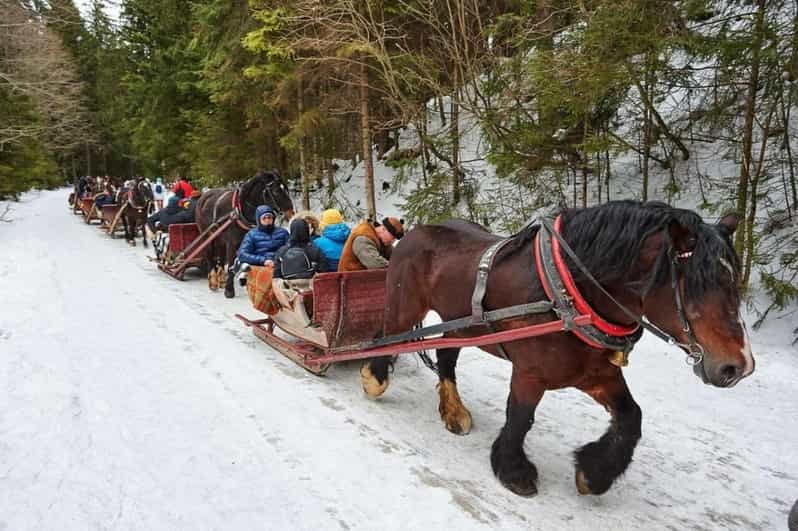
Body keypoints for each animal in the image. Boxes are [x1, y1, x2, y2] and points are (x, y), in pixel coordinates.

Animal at [195, 170, 294, 298]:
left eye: (286, 189)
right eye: (276, 191)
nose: (291, 213)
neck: (240, 209)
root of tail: (203, 196)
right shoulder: (232, 243)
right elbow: (231, 265)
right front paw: (229, 290)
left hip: (220, 237)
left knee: (220, 255)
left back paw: (221, 279)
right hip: (207, 234)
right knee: (209, 254)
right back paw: (213, 281)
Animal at [360, 200, 755, 497]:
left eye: (732, 281)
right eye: (697, 285)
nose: (739, 366)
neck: (569, 294)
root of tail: (415, 232)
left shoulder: (597, 373)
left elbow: (631, 417)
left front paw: (594, 474)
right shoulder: (530, 373)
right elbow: (520, 418)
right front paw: (514, 470)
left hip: (461, 323)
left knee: (446, 357)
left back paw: (453, 411)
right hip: (405, 307)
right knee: (384, 336)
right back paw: (374, 378)